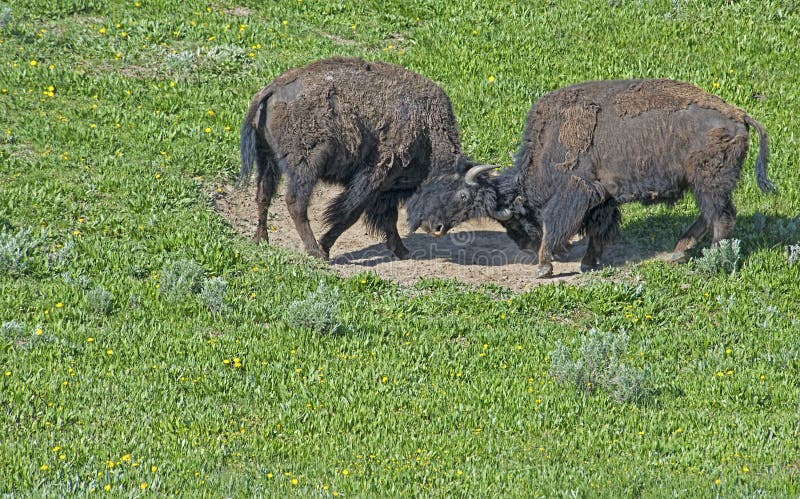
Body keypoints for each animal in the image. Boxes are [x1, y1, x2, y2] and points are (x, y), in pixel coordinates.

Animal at [239, 57, 471, 260]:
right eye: (455, 192)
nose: (438, 228)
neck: (428, 128)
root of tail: (272, 89)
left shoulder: (386, 190)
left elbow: (388, 220)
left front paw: (403, 251)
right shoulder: (372, 179)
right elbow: (349, 214)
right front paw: (325, 247)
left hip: (267, 160)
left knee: (263, 195)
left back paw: (261, 240)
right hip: (307, 166)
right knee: (296, 203)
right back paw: (315, 252)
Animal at [406, 79, 774, 278]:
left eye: (461, 196)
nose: (433, 227)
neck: (549, 143)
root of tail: (739, 114)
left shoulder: (577, 193)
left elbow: (555, 227)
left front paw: (544, 267)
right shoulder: (603, 198)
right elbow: (598, 229)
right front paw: (588, 263)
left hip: (709, 183)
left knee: (721, 218)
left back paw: (714, 261)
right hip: (704, 185)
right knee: (709, 217)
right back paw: (678, 252)